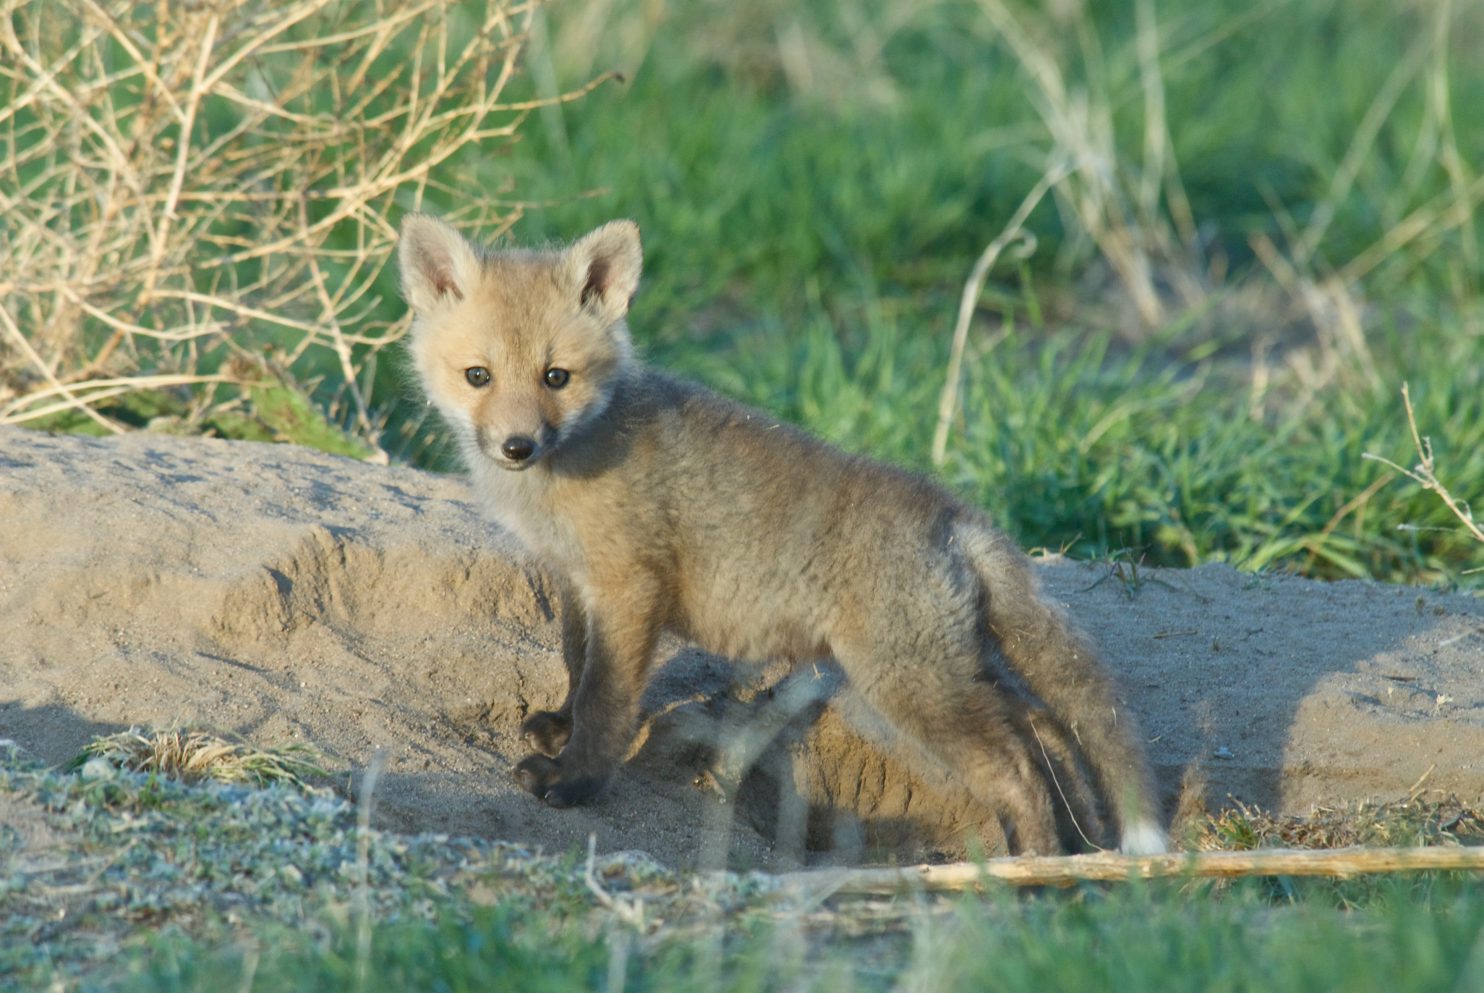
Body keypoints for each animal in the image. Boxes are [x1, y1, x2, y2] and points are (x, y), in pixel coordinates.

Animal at [397, 213, 1166, 855]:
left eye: (556, 376)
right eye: (478, 376)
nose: (518, 446)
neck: (558, 480)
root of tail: (953, 510)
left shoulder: (630, 585)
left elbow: (607, 698)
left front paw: (574, 780)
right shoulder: (578, 583)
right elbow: (576, 664)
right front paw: (558, 727)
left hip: (908, 681)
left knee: (1015, 768)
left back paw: (1028, 867)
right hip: (953, 670)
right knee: (1041, 733)